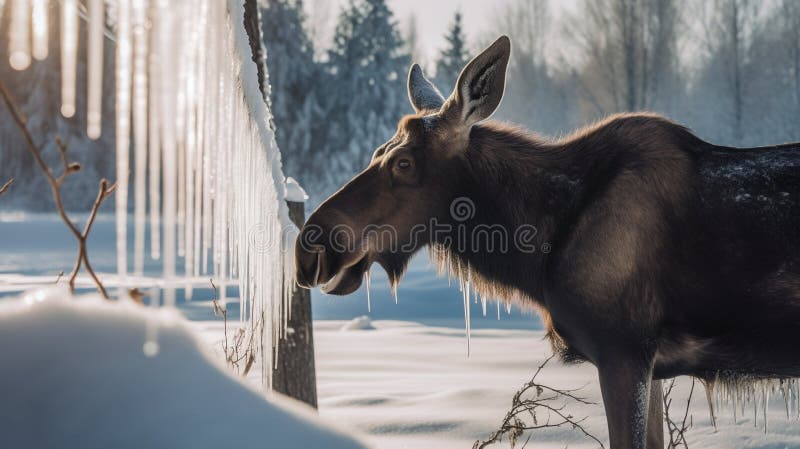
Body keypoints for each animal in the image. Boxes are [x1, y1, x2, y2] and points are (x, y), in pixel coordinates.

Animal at [294, 36, 800, 448]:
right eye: (378, 151)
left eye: (402, 163)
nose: (310, 244)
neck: (538, 252)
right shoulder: (651, 363)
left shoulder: (624, 349)